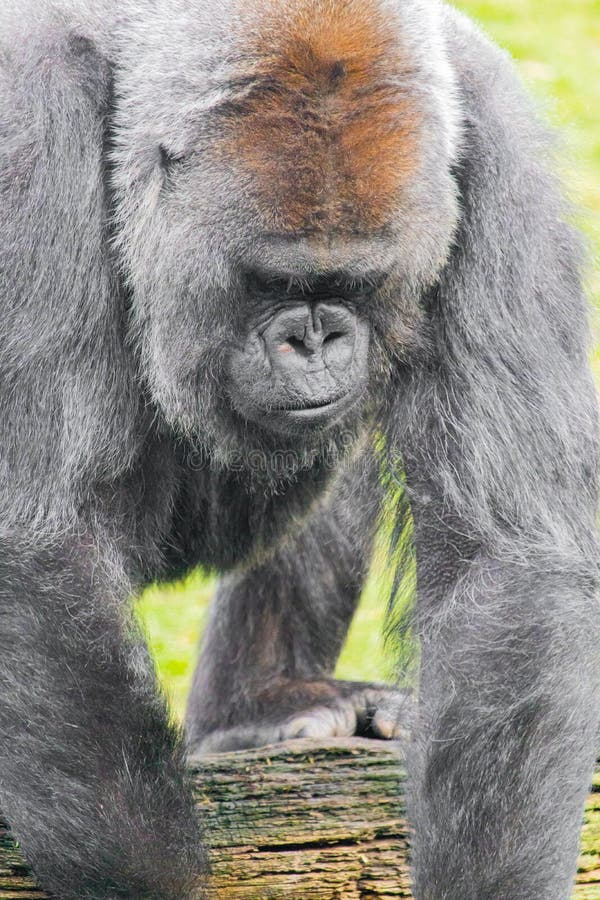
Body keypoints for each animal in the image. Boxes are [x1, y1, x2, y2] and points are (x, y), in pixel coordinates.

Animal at [0, 0, 598, 898]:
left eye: (355, 283)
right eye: (269, 282)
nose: (314, 339)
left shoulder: (490, 124)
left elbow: (509, 557)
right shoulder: (28, 128)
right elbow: (33, 547)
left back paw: (258, 707)